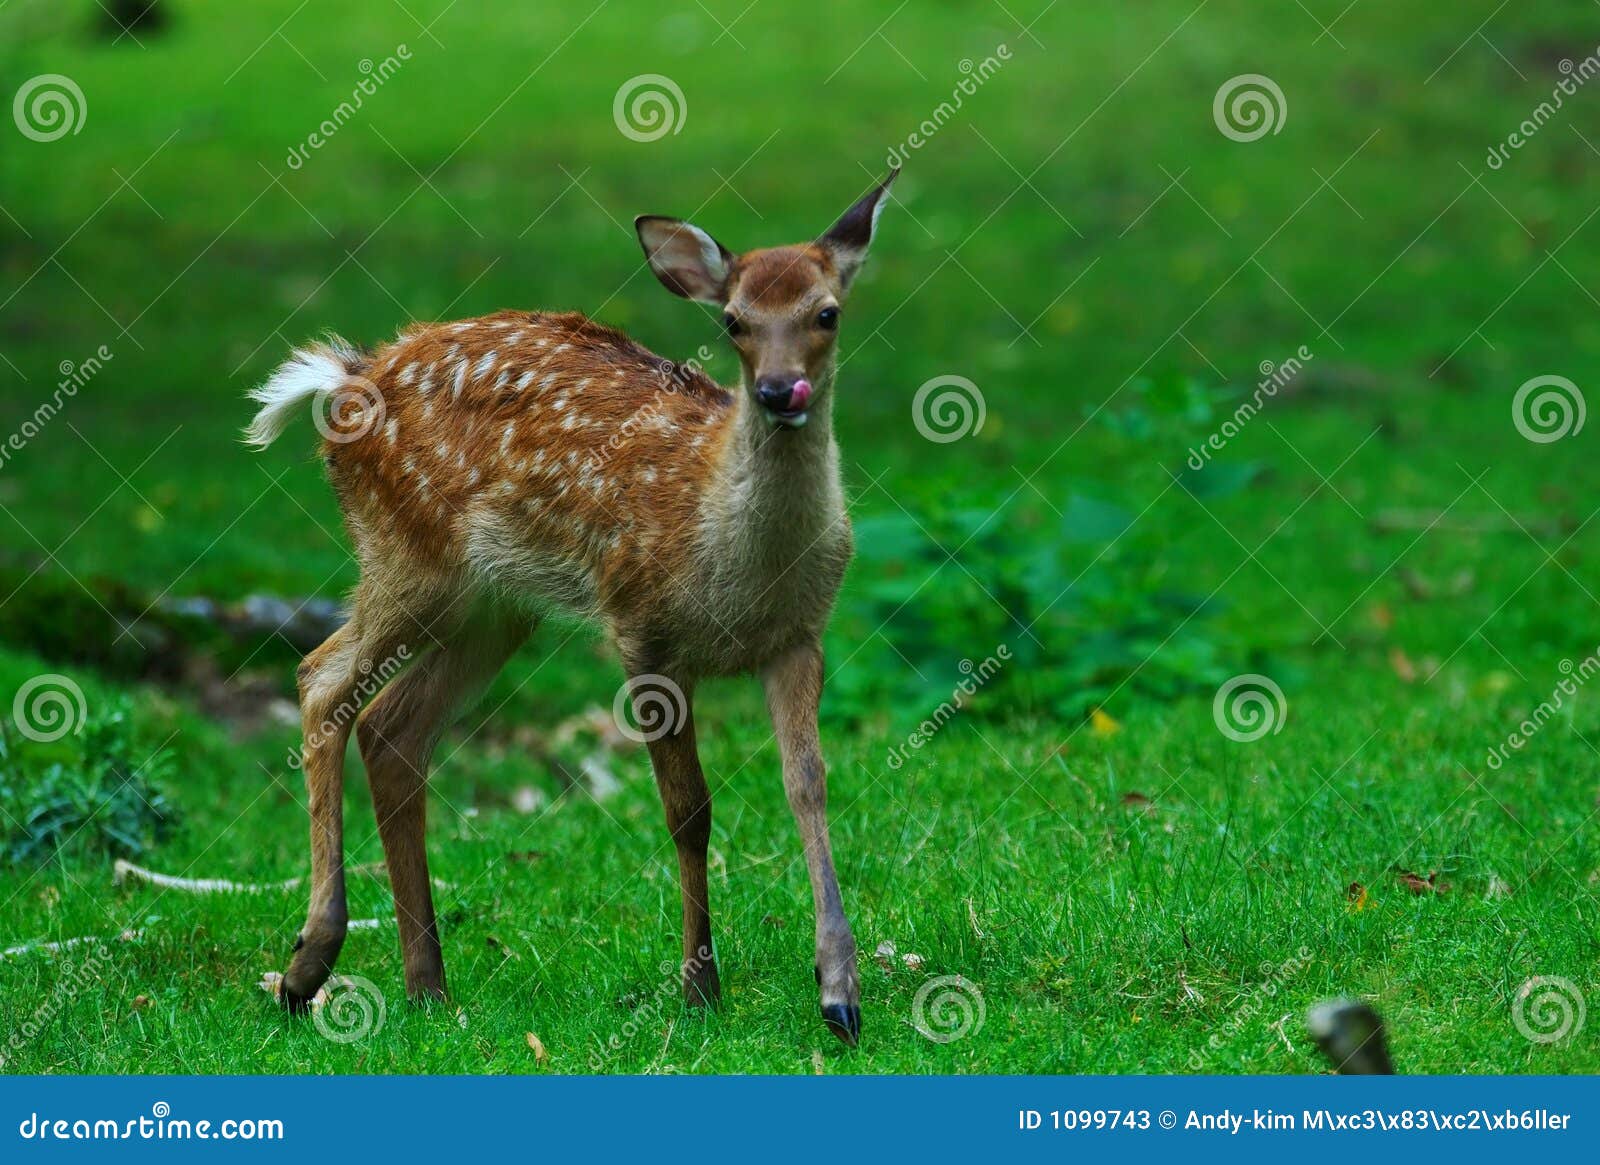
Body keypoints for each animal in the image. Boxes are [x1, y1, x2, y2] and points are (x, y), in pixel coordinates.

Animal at [244, 169, 898, 1046]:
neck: (732, 558)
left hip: (494, 608)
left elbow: (809, 785)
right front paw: (700, 987)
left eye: (826, 311)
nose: (776, 390)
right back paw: (308, 963)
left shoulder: (799, 637)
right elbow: (688, 810)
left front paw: (840, 993)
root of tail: (345, 377)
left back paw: (427, 986)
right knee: (321, 677)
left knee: (392, 726)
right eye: (733, 321)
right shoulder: (641, 624)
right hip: (408, 557)